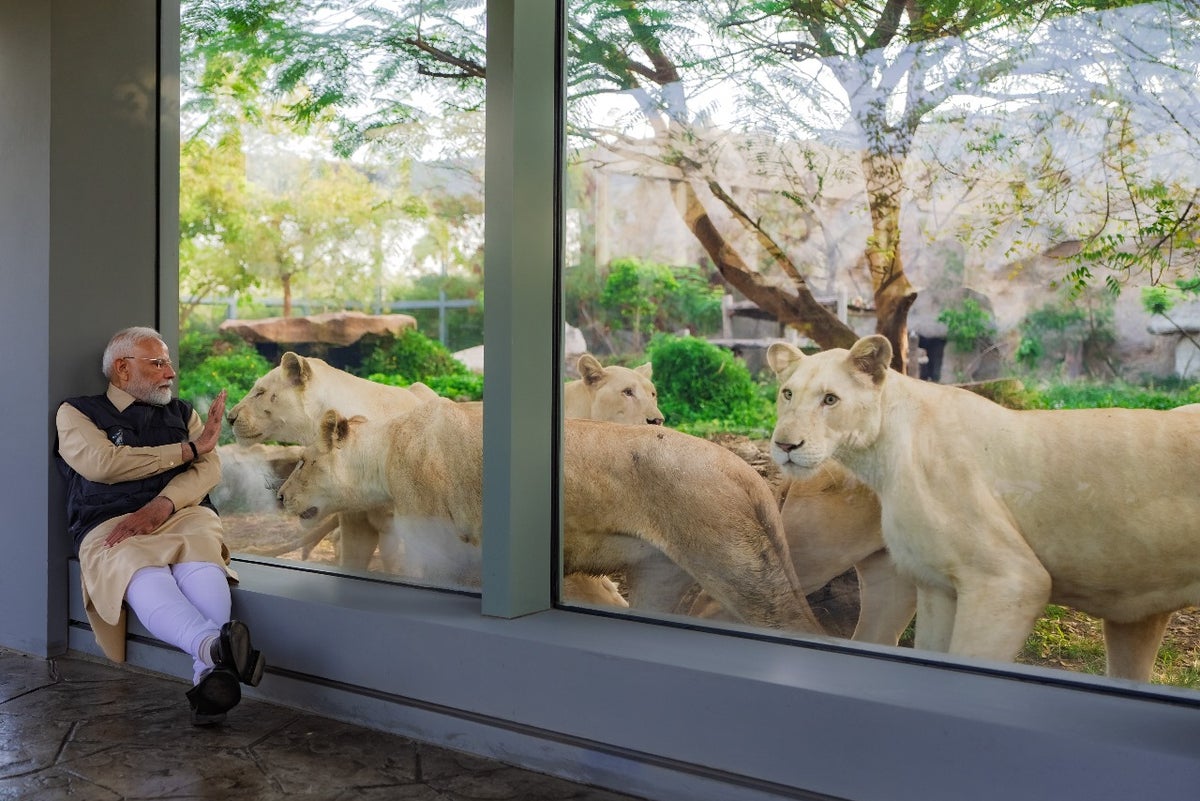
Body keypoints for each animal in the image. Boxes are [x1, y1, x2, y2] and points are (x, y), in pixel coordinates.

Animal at [278, 400, 823, 632]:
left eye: (301, 461)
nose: (279, 495)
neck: (386, 450)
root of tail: (747, 473)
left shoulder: (443, 553)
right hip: (662, 573)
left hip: (739, 566)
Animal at [766, 335, 1200, 681]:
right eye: (787, 393)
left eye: (830, 399)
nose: (784, 445)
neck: (881, 454)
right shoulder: (939, 585)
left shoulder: (1008, 581)